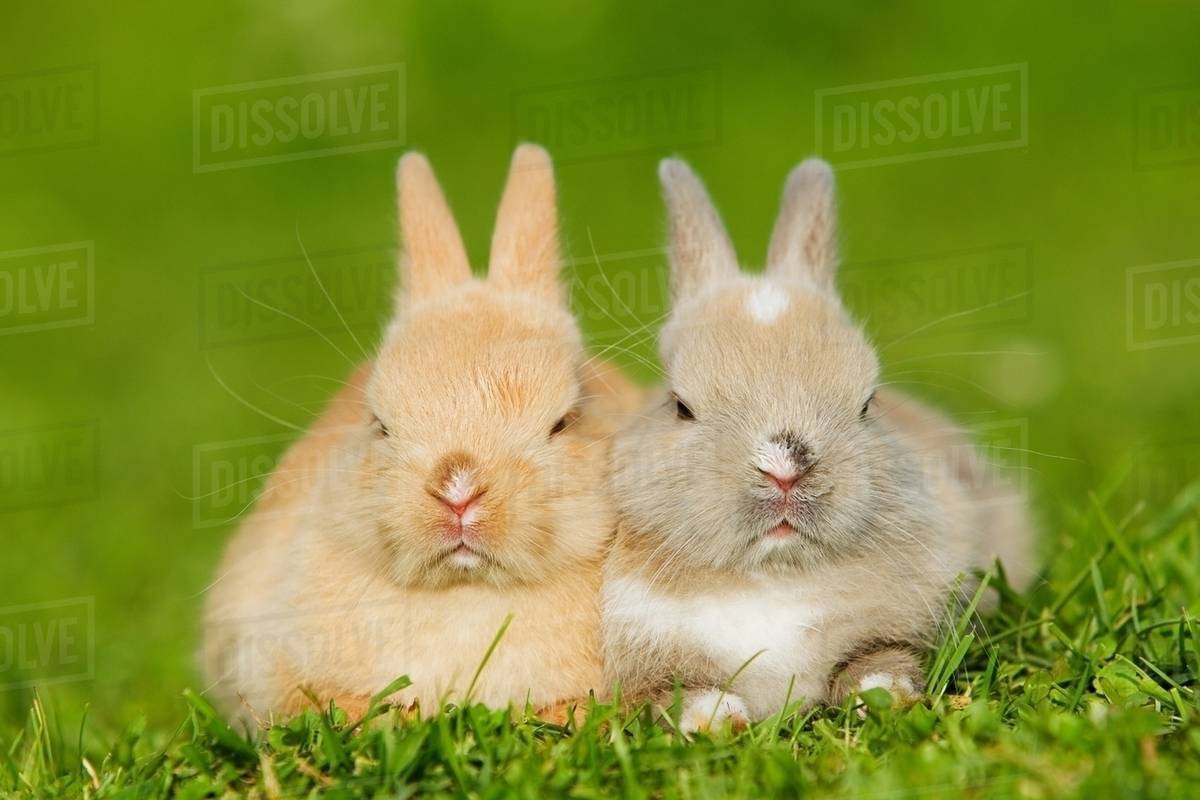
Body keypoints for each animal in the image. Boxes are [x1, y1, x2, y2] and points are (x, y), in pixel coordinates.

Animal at [600, 157, 1035, 733]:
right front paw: (718, 722)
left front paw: (883, 698)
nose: (785, 469)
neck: (773, 579)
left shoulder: (891, 632)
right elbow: (679, 693)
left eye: (867, 404)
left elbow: (879, 662)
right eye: (680, 406)